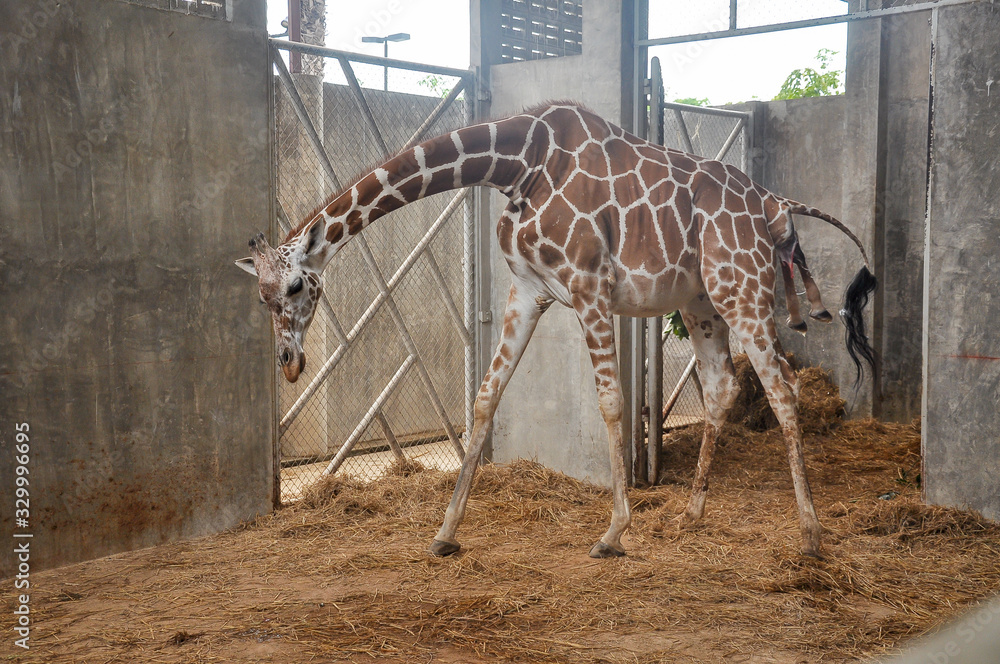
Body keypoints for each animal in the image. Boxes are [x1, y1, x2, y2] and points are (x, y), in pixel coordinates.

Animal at [237, 102, 876, 558]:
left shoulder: (591, 285)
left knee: (784, 387)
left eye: (293, 289)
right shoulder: (528, 290)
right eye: (260, 296)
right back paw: (691, 516)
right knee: (722, 387)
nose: (290, 364)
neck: (519, 164)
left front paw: (614, 533)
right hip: (701, 302)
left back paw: (810, 538)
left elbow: (612, 402)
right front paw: (445, 531)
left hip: (740, 289)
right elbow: (486, 397)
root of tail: (774, 203)